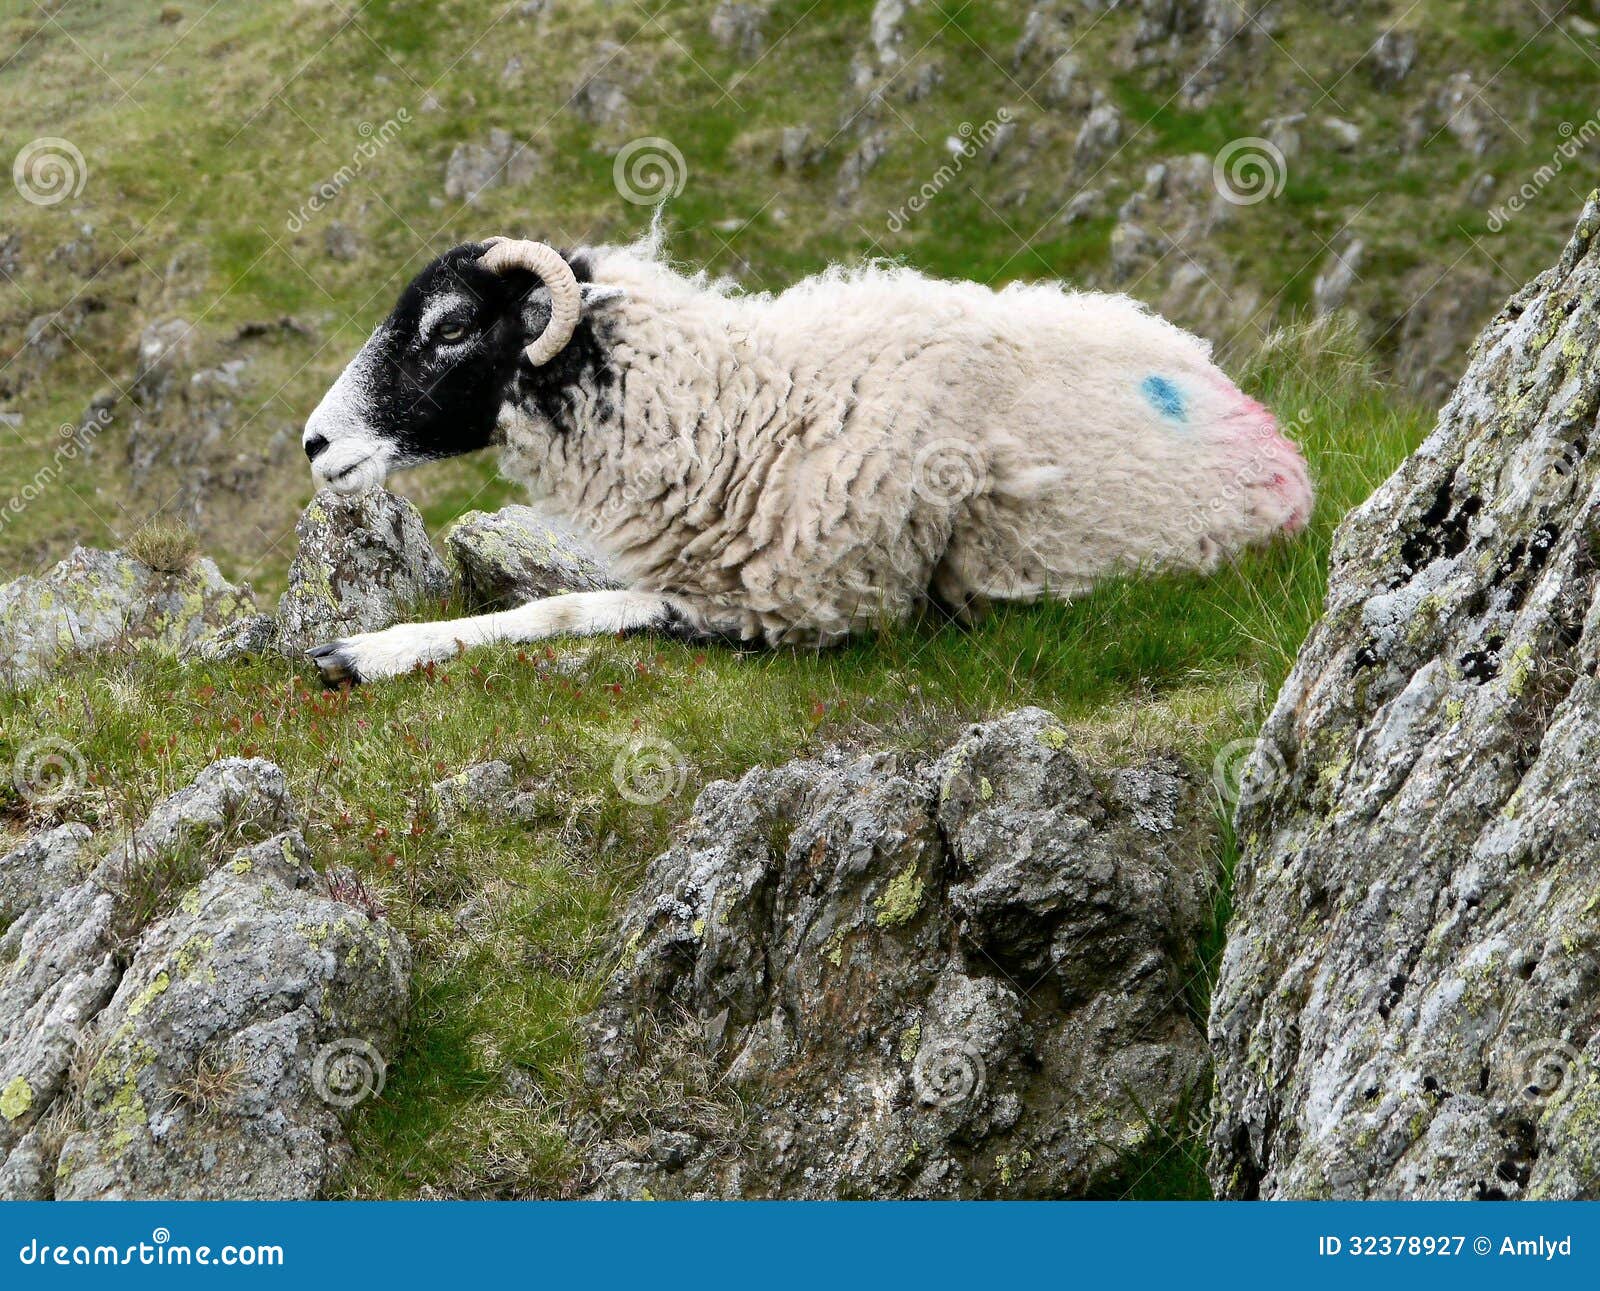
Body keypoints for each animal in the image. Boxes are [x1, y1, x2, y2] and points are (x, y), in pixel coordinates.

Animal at [301, 234, 1312, 683]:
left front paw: (369, 649)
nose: (314, 442)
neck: (745, 411)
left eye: (451, 328)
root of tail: (1277, 441)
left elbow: (567, 607)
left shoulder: (801, 607)